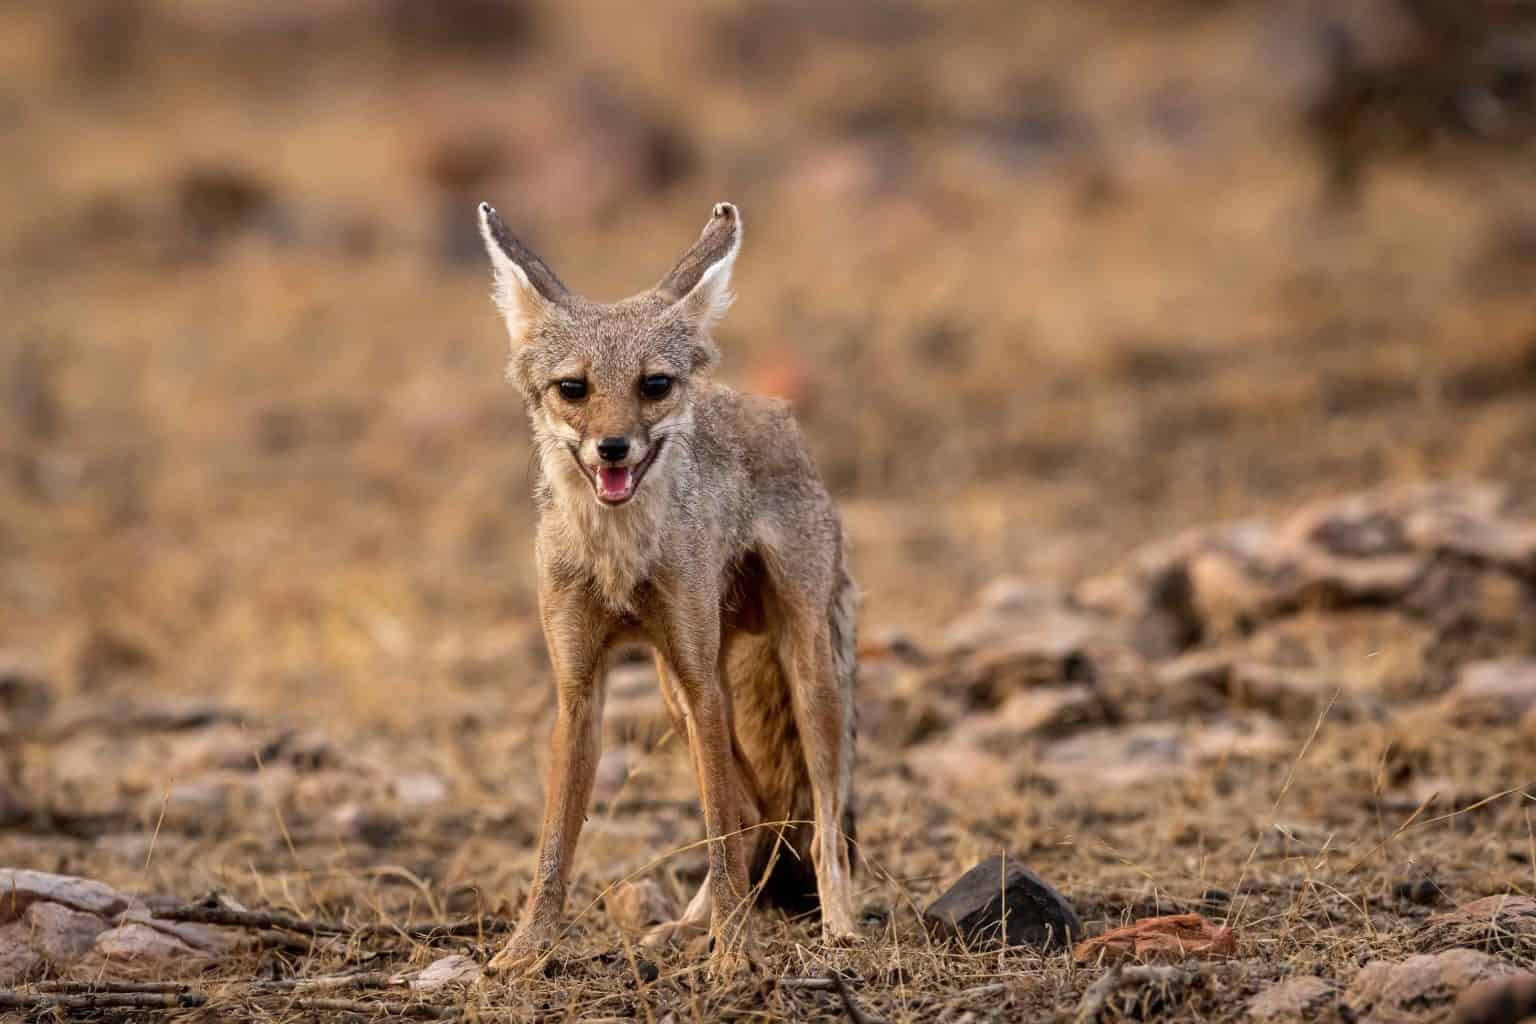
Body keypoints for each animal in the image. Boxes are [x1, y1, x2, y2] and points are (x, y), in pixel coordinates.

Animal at [475, 200, 860, 980]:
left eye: (653, 385)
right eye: (574, 389)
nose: (613, 449)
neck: (618, 557)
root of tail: (772, 409)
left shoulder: (702, 679)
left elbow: (716, 828)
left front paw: (735, 954)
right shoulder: (579, 689)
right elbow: (554, 848)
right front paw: (525, 951)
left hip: (799, 676)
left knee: (819, 822)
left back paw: (835, 926)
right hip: (670, 690)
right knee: (752, 810)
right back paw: (688, 926)